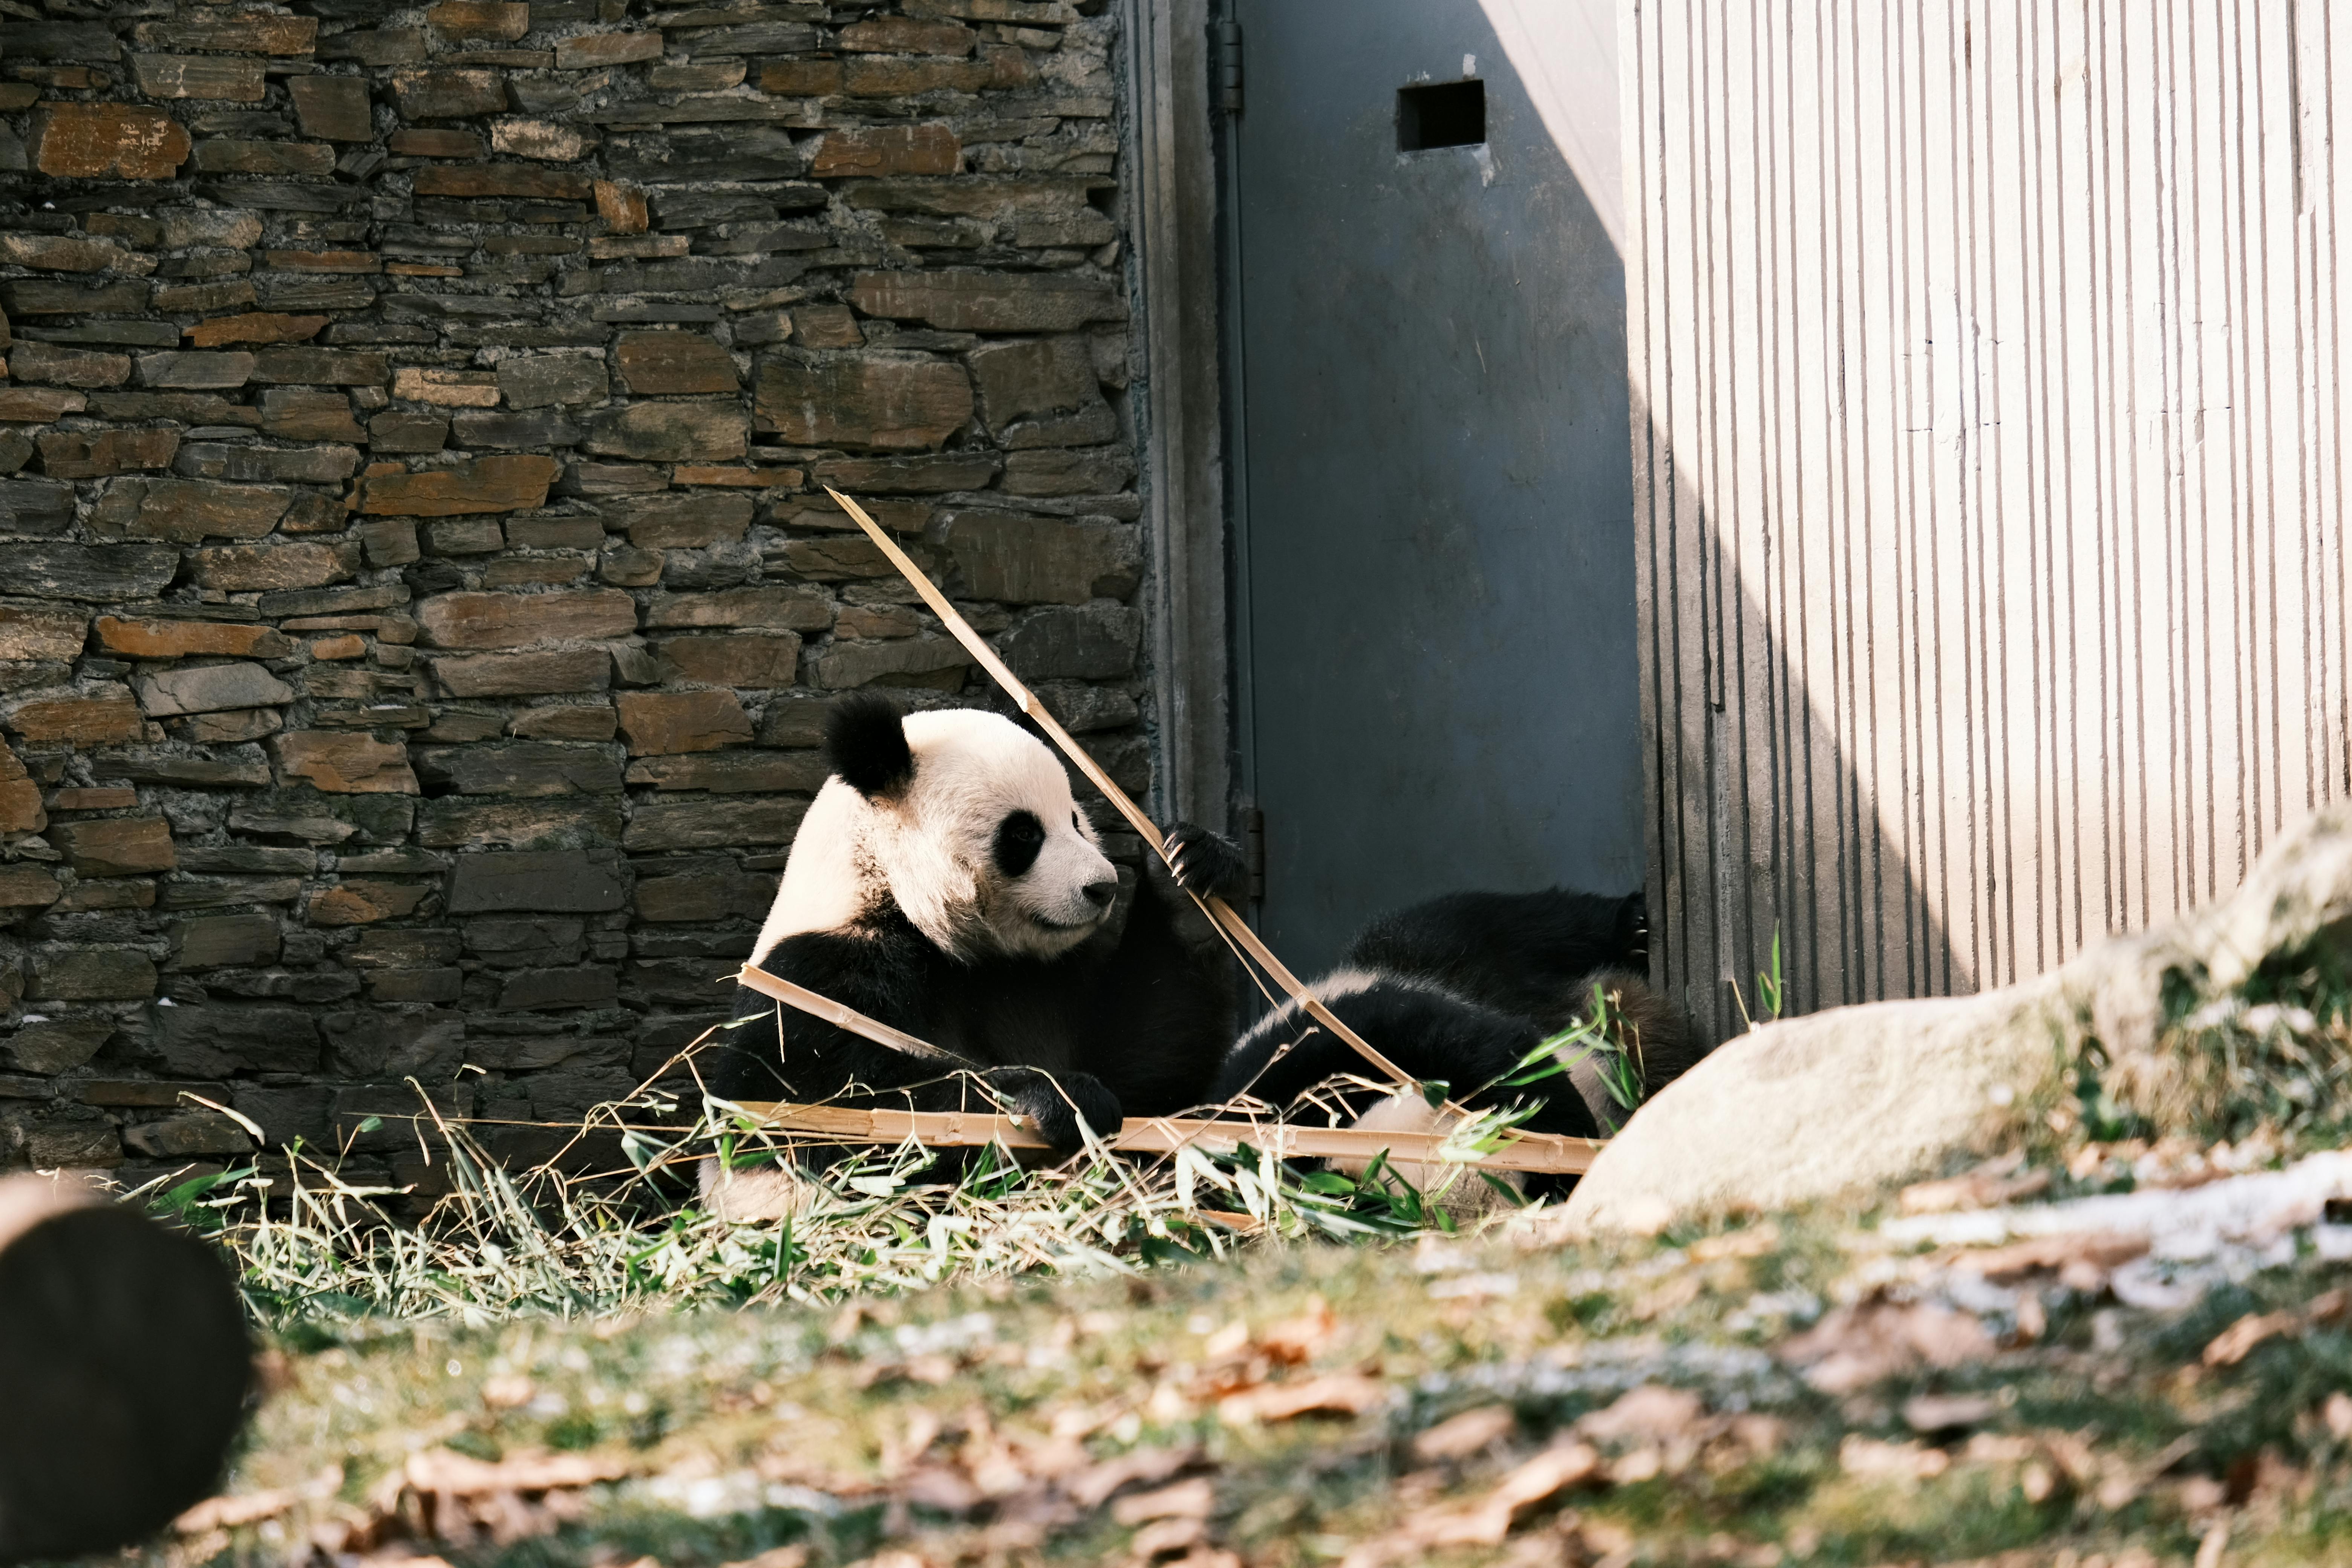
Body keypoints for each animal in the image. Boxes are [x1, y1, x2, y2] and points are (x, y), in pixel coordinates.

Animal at [701, 692, 1249, 1216]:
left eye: (1075, 819)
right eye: (1024, 833)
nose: (1102, 888)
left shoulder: (1046, 976)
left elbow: (1146, 1076)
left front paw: (1188, 880)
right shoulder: (820, 974)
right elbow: (817, 1116)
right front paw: (1061, 1097)